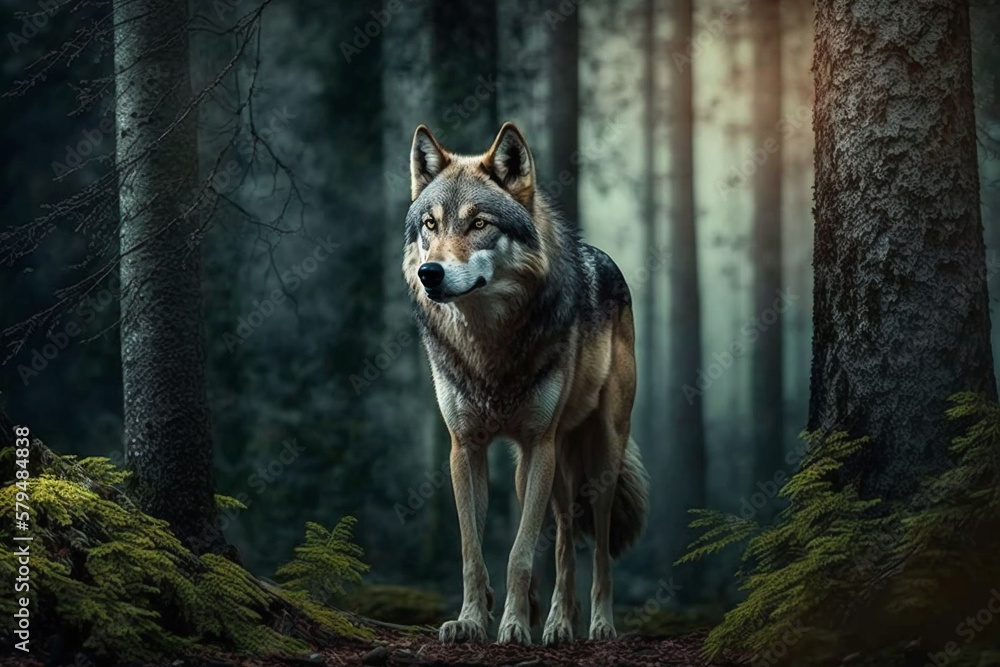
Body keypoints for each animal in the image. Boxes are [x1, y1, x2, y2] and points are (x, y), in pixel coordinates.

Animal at [403, 122, 649, 646]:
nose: (430, 273)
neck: (488, 348)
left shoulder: (540, 443)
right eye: (430, 224)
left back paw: (593, 624)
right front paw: (472, 619)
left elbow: (518, 553)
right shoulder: (465, 448)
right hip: (538, 469)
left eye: (479, 224)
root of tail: (602, 256)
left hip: (596, 455)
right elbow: (474, 551)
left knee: (593, 546)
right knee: (560, 538)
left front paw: (513, 625)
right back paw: (554, 620)